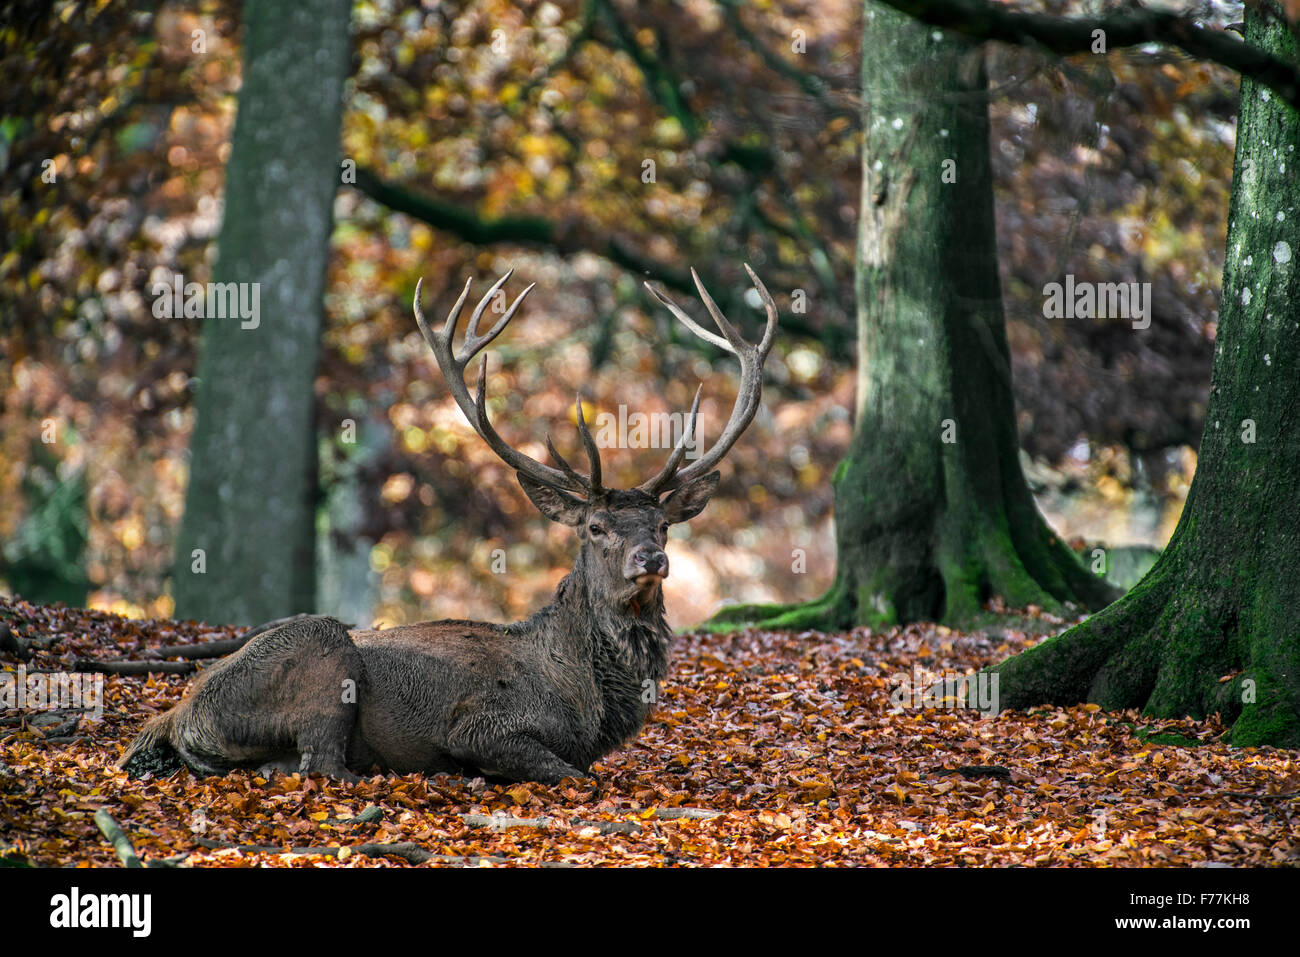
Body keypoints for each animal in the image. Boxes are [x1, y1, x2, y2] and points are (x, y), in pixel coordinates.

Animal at [120, 266, 777, 784]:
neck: (585, 699)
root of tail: (176, 714)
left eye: (663, 526)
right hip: (322, 657)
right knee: (322, 766)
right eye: (595, 526)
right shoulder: (481, 725)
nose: (651, 558)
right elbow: (569, 773)